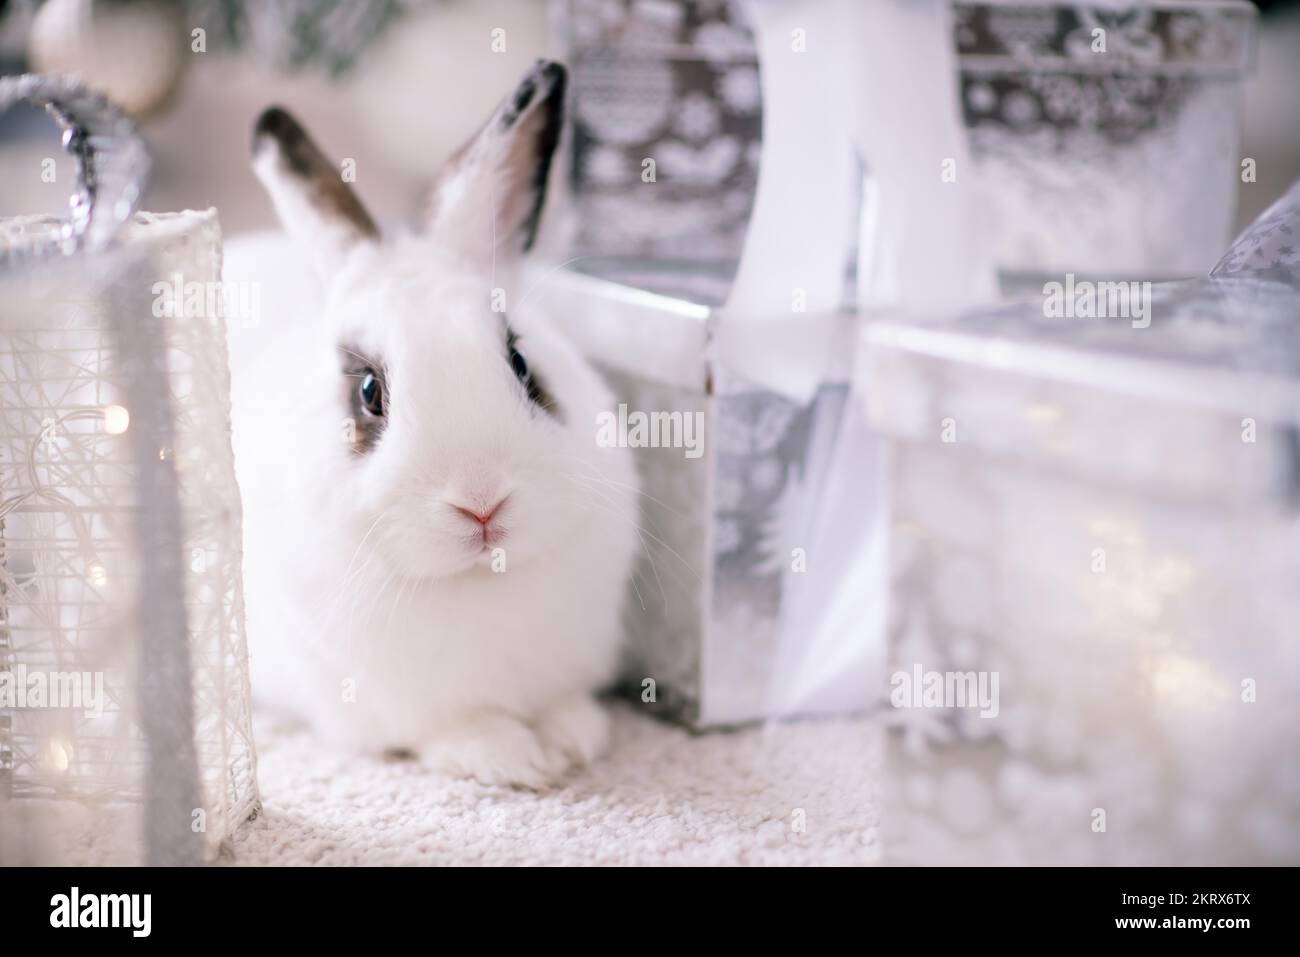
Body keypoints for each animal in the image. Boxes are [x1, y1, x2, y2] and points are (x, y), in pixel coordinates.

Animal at [222, 60, 640, 789]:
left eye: (521, 362)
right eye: (369, 392)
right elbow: (452, 730)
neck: (478, 583)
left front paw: (575, 739)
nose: (482, 501)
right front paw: (514, 759)